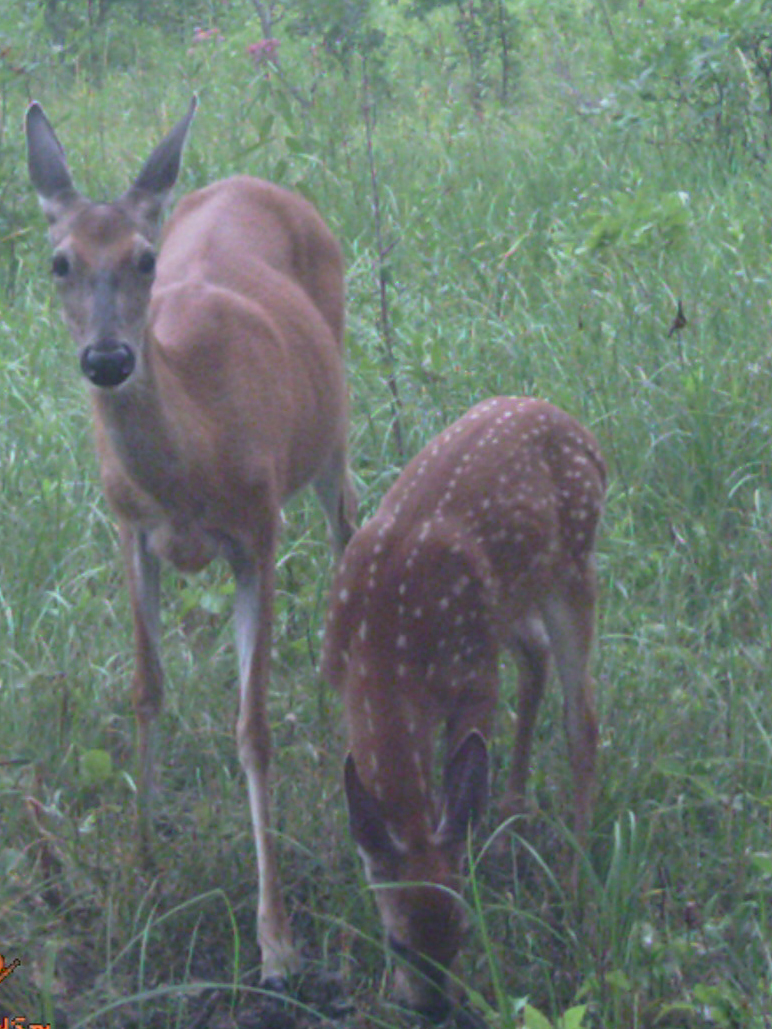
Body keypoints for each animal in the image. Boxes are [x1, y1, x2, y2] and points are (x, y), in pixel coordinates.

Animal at [26, 98, 357, 987]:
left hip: (331, 427)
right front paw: (142, 862)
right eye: (59, 261)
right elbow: (146, 686)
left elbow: (253, 728)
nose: (108, 357)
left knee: (349, 530)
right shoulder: (129, 531)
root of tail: (254, 179)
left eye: (144, 258)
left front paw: (277, 938)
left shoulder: (258, 532)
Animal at [321, 396, 606, 1018]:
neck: (384, 651)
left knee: (583, 721)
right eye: (396, 942)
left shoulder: (474, 679)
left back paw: (575, 887)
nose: (433, 1010)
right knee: (536, 657)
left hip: (573, 569)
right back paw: (512, 808)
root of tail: (583, 434)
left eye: (464, 931)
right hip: (511, 598)